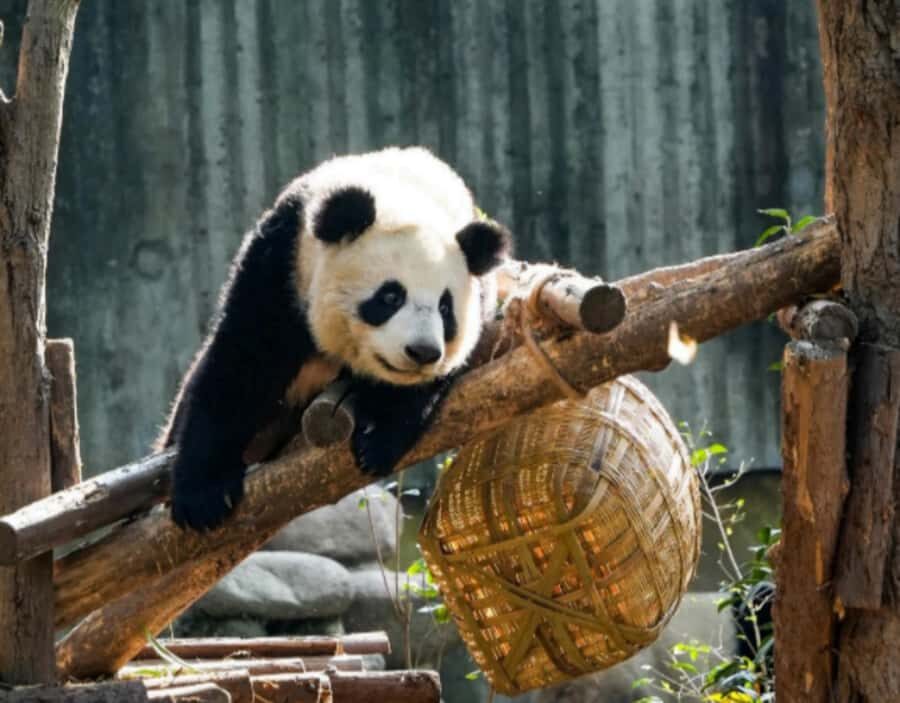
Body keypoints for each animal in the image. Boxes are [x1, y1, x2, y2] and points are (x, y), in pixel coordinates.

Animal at [159, 146, 512, 531]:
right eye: (391, 296)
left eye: (446, 309)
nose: (422, 351)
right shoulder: (280, 263)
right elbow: (242, 364)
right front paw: (203, 497)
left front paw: (378, 434)